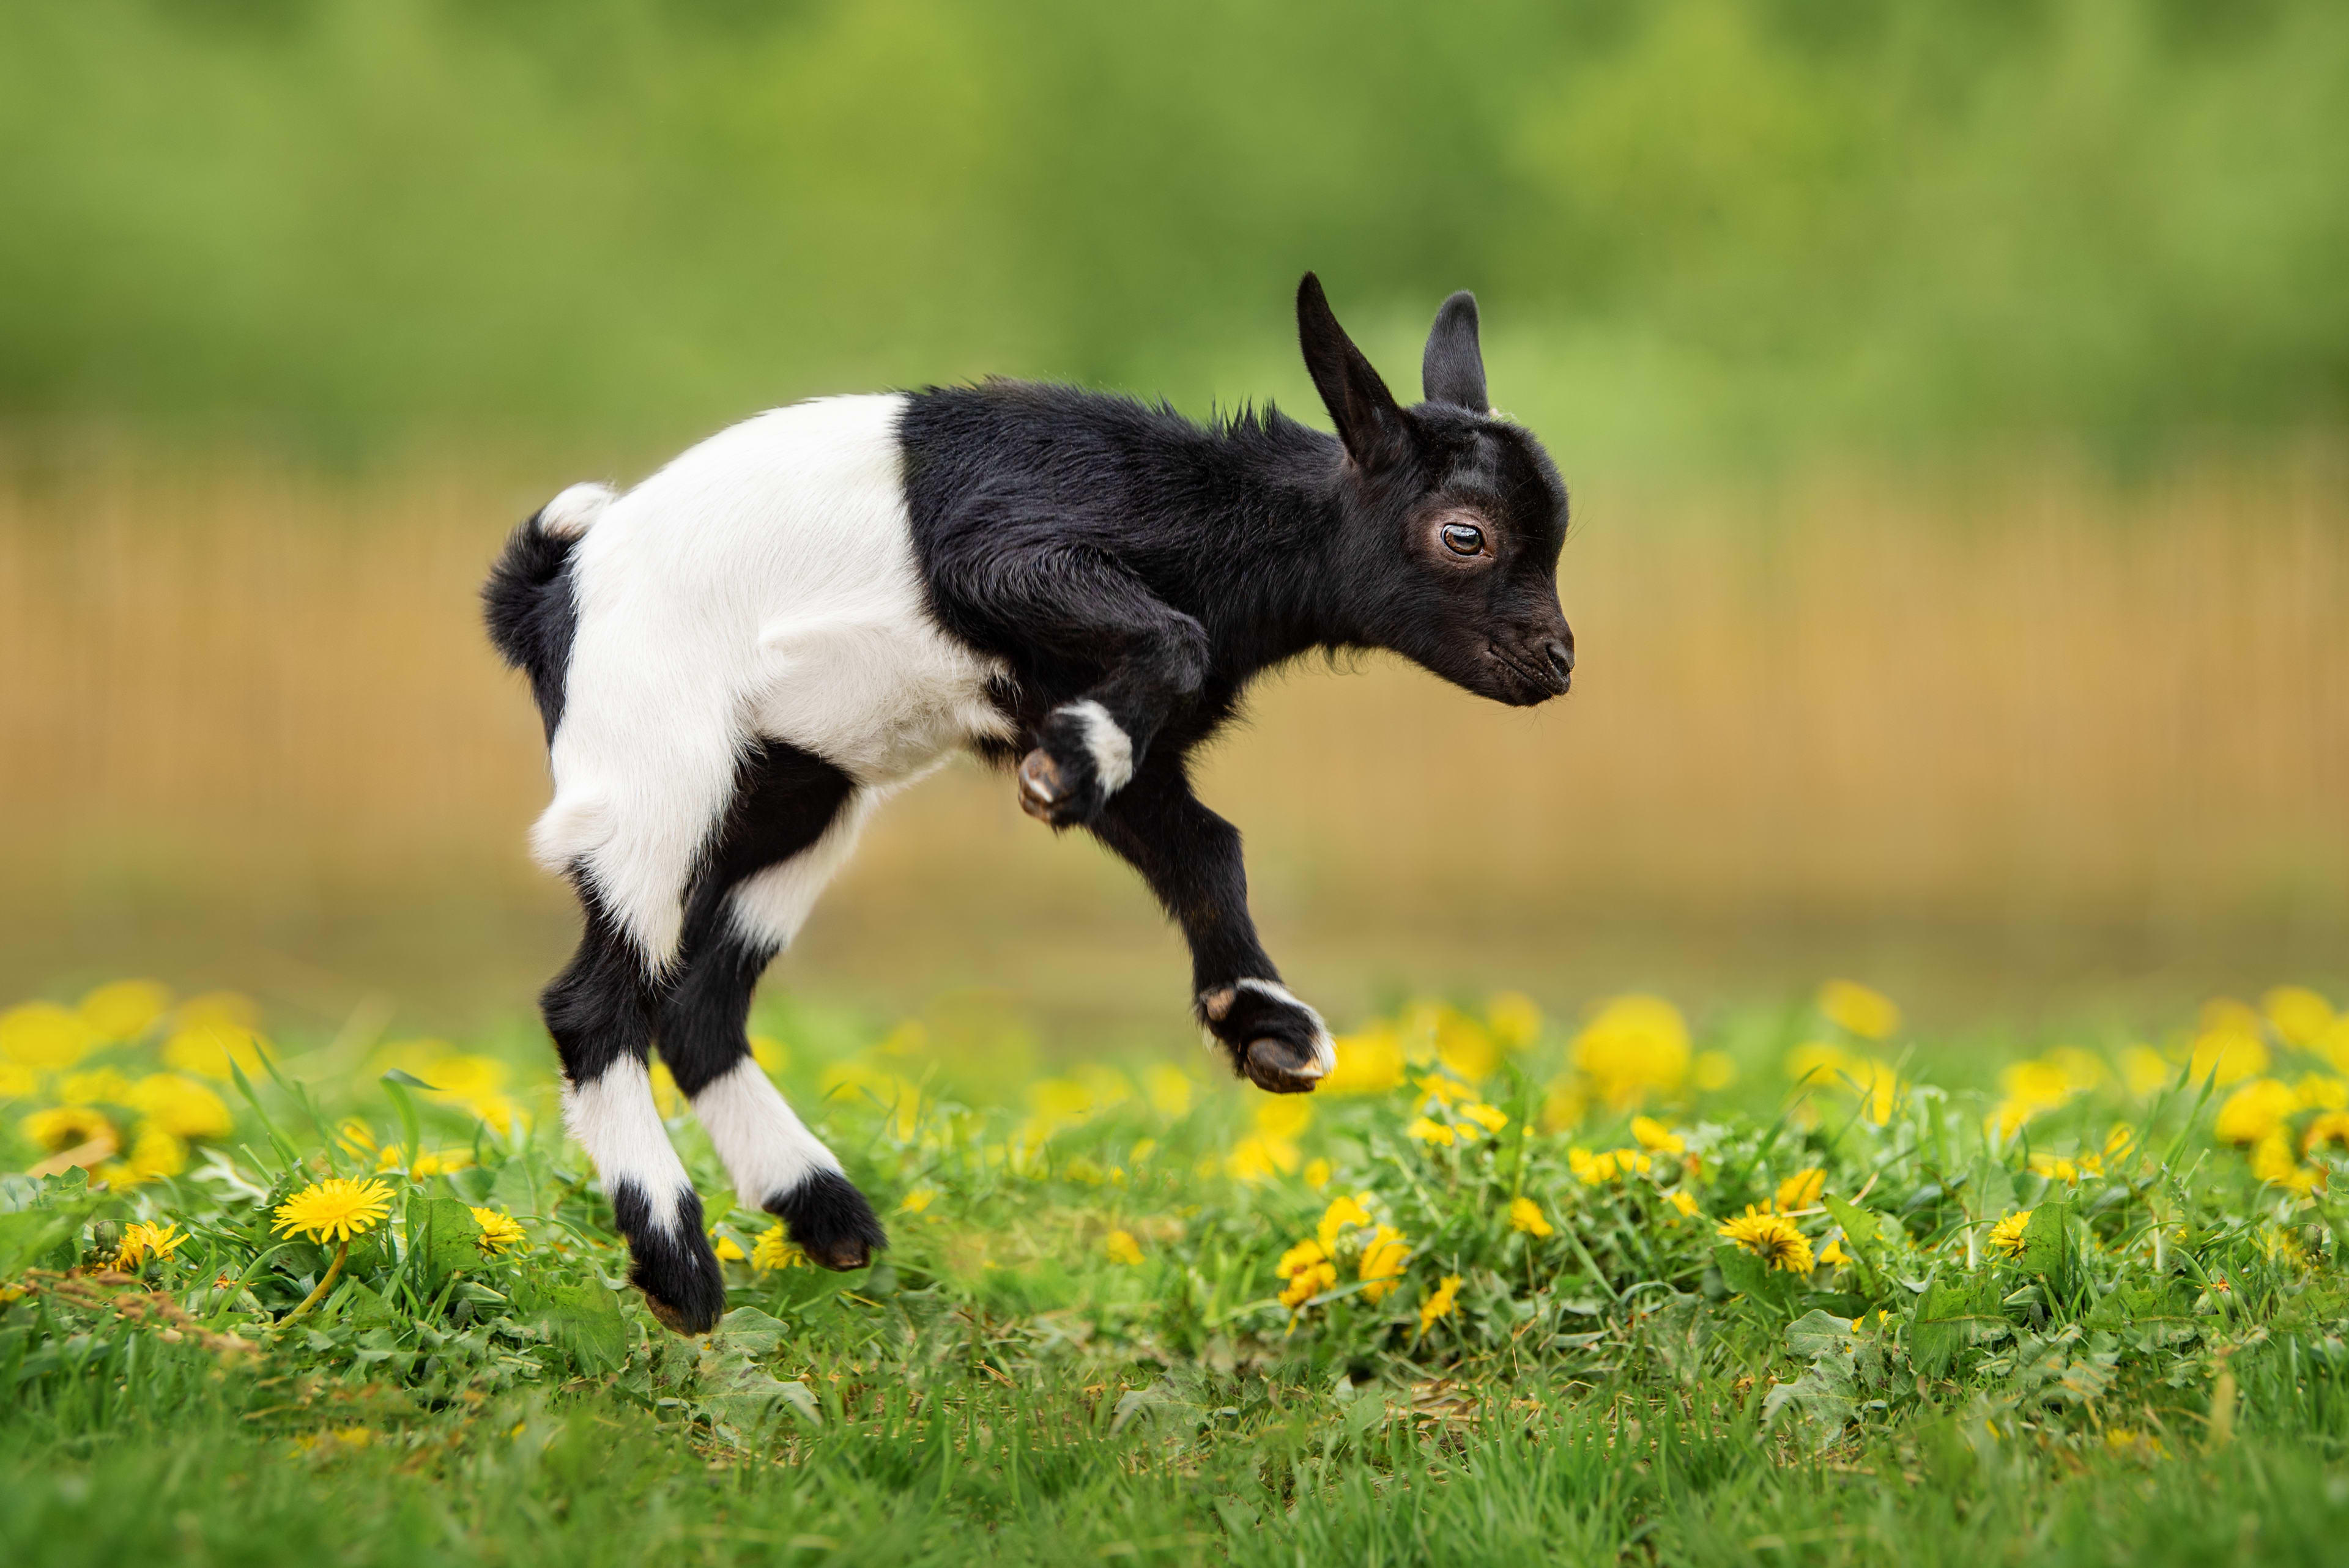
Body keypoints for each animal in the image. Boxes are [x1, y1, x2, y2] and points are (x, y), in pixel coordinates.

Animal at [484, 274, 1573, 1333]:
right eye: (1466, 536)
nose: (1558, 666)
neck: (1213, 520)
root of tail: (547, 596)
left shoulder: (1092, 728)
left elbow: (1208, 846)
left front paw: (1260, 1022)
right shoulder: (1007, 551)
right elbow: (1172, 644)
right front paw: (1073, 780)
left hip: (796, 792)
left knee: (700, 1002)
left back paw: (824, 1211)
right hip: (655, 772)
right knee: (593, 1004)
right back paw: (678, 1262)